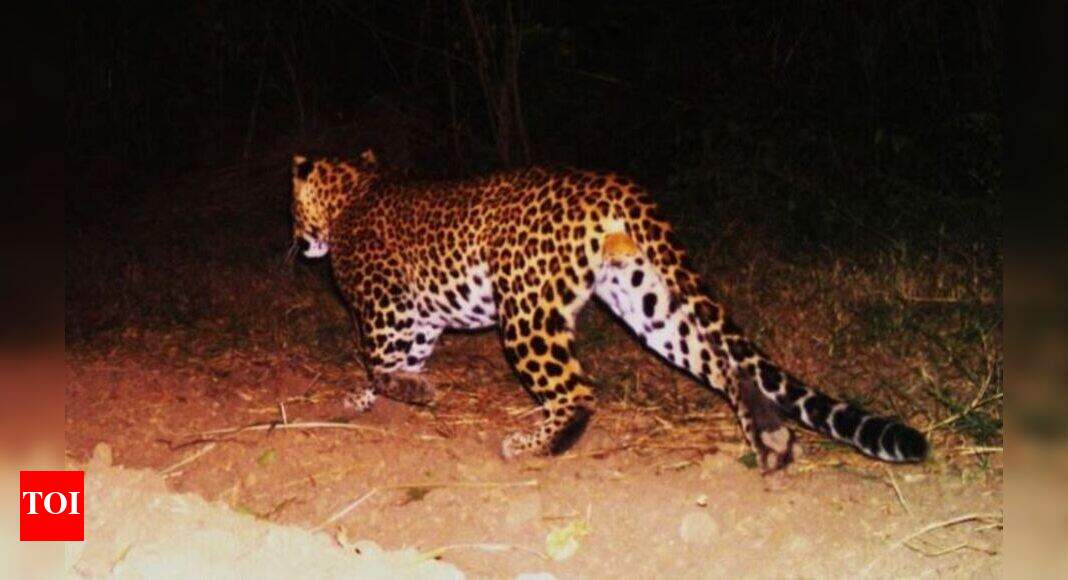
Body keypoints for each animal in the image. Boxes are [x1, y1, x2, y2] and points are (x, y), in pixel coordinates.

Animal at [289, 149, 927, 470]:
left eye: (293, 211)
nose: (298, 242)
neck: (355, 190)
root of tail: (614, 185)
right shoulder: (420, 317)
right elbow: (401, 361)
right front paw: (393, 393)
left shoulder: (384, 309)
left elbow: (379, 361)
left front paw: (387, 393)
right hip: (646, 297)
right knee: (725, 364)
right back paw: (767, 436)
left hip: (526, 311)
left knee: (577, 391)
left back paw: (536, 445)